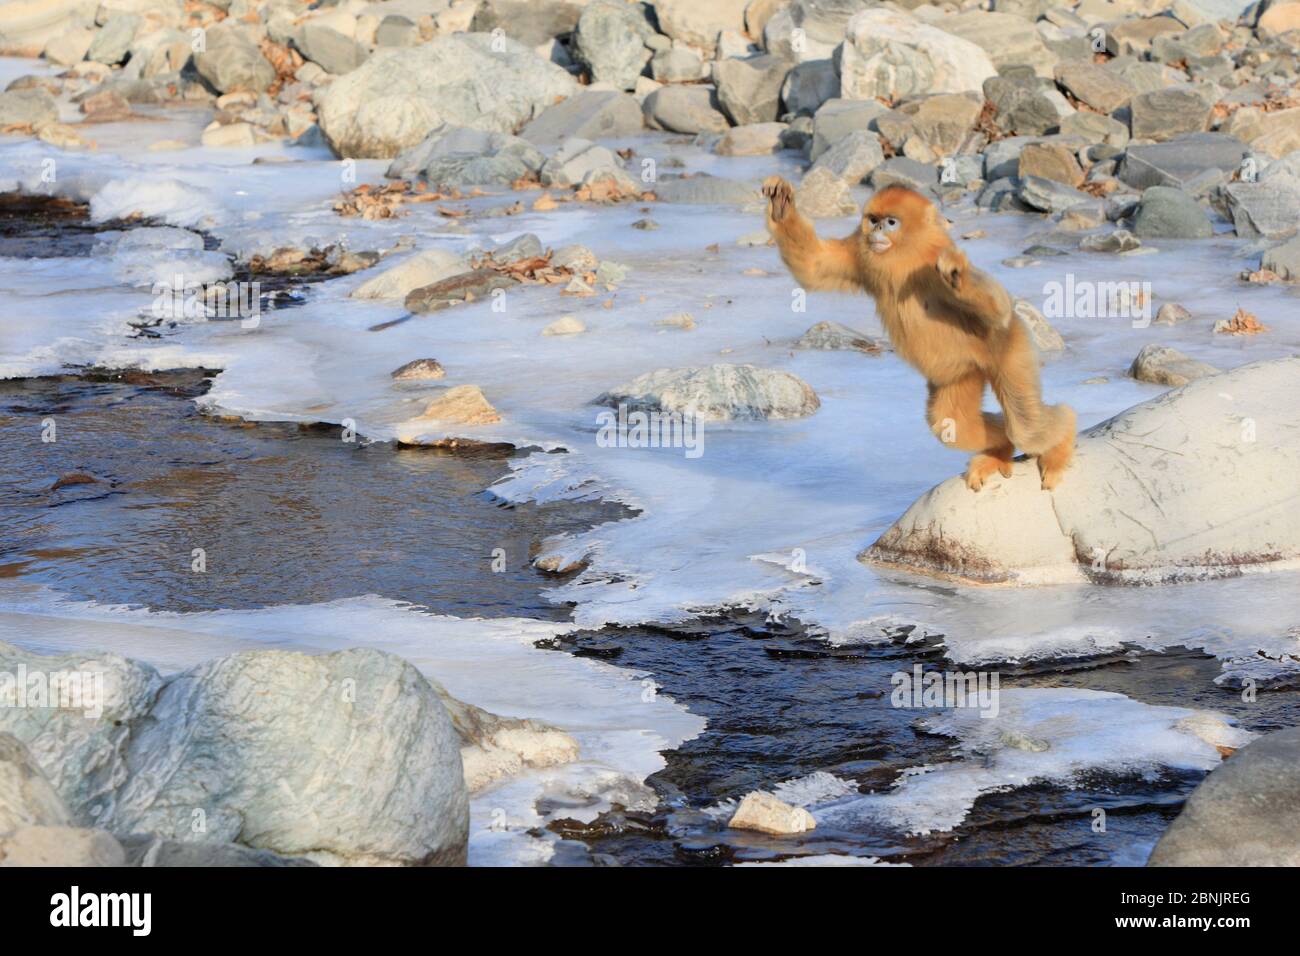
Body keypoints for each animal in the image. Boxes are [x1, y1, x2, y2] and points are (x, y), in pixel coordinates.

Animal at [762, 176, 1076, 492]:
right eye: (873, 220)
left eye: (891, 222)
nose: (876, 230)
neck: (903, 258)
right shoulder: (860, 253)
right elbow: (813, 267)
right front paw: (780, 207)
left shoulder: (932, 260)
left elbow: (997, 308)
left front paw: (958, 275)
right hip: (962, 374)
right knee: (951, 423)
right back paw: (1000, 452)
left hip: (1008, 344)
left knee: (1027, 427)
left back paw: (1061, 441)